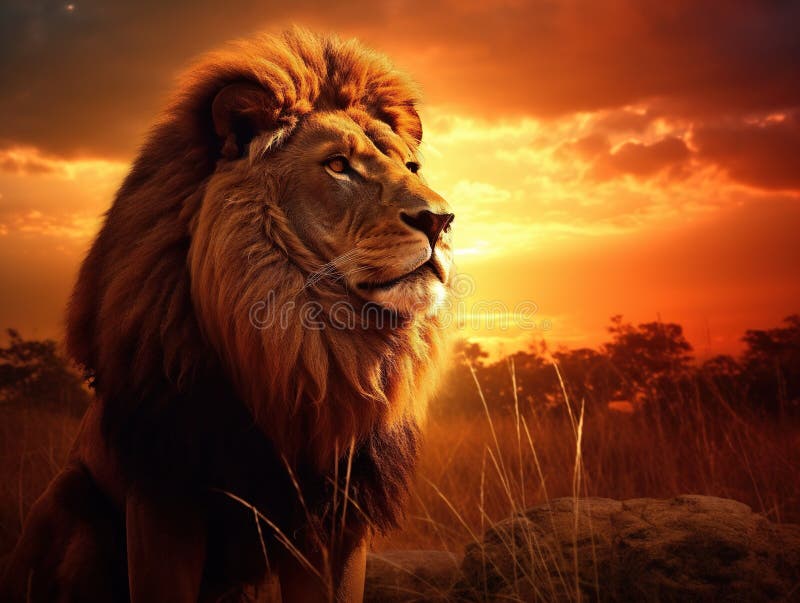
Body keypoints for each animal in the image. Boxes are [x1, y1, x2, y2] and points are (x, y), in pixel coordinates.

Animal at [0, 28, 454, 602]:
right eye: (337, 165)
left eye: (411, 168)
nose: (441, 220)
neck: (307, 353)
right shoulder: (162, 501)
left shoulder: (339, 518)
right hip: (70, 498)